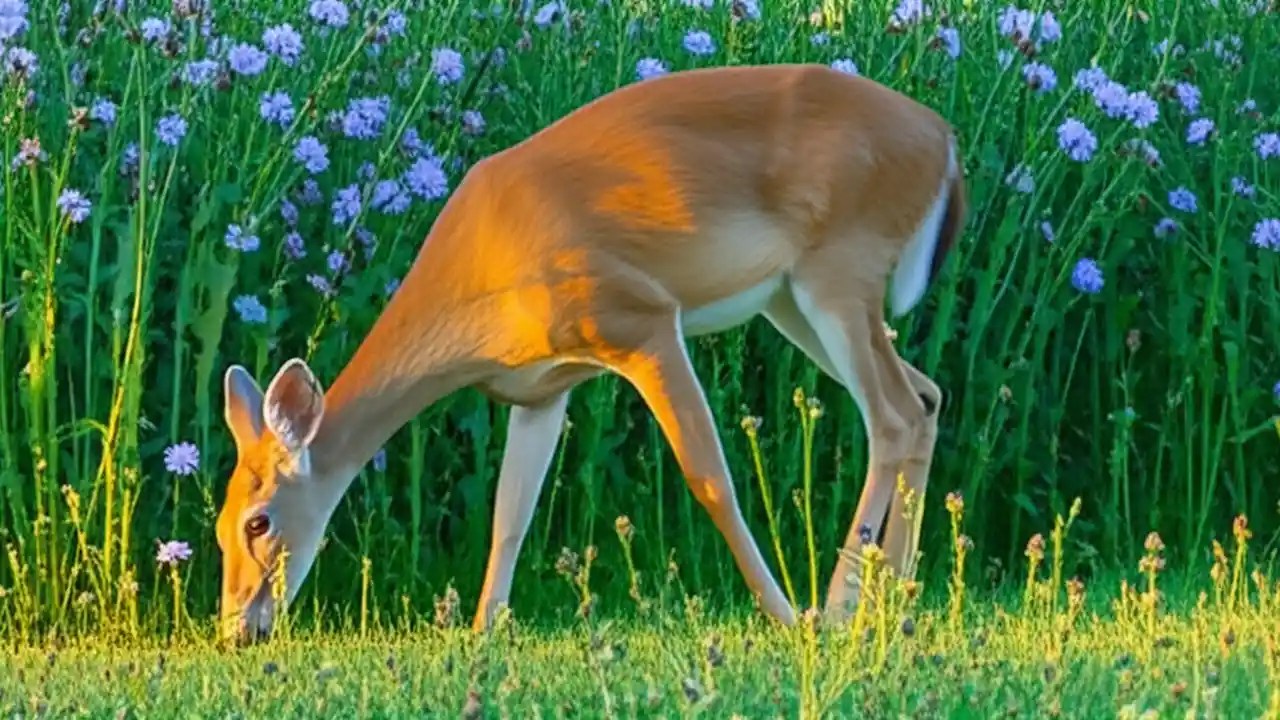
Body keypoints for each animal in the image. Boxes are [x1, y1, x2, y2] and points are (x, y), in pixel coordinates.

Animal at [213, 62, 967, 645]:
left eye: (259, 521)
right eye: (217, 525)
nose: (236, 631)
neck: (485, 278)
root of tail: (947, 143)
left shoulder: (636, 318)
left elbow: (710, 479)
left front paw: (784, 617)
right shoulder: (541, 387)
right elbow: (510, 513)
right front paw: (482, 633)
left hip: (841, 264)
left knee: (894, 414)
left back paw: (839, 609)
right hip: (791, 298)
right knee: (926, 398)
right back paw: (893, 595)